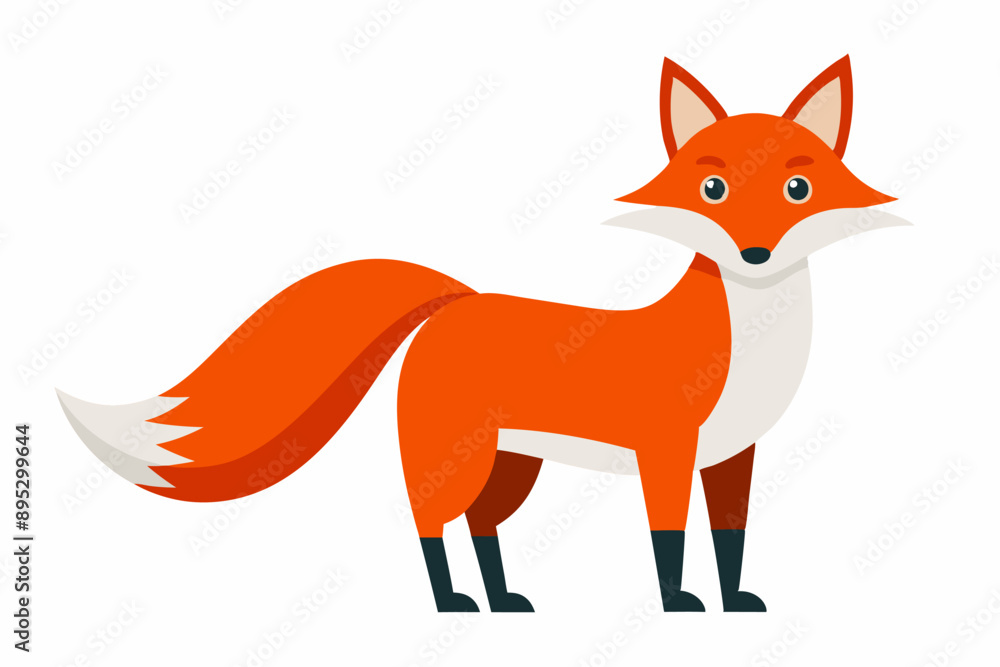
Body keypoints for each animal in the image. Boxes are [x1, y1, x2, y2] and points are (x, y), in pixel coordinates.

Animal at [59, 55, 908, 613]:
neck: (750, 338)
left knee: (483, 526)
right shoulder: (664, 451)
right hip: (454, 457)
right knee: (431, 524)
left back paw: (502, 600)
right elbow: (668, 540)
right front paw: (680, 605)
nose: (754, 252)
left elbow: (731, 538)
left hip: (510, 464)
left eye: (797, 187)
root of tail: (457, 301)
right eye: (712, 188)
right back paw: (454, 603)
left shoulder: (733, 455)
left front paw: (735, 603)